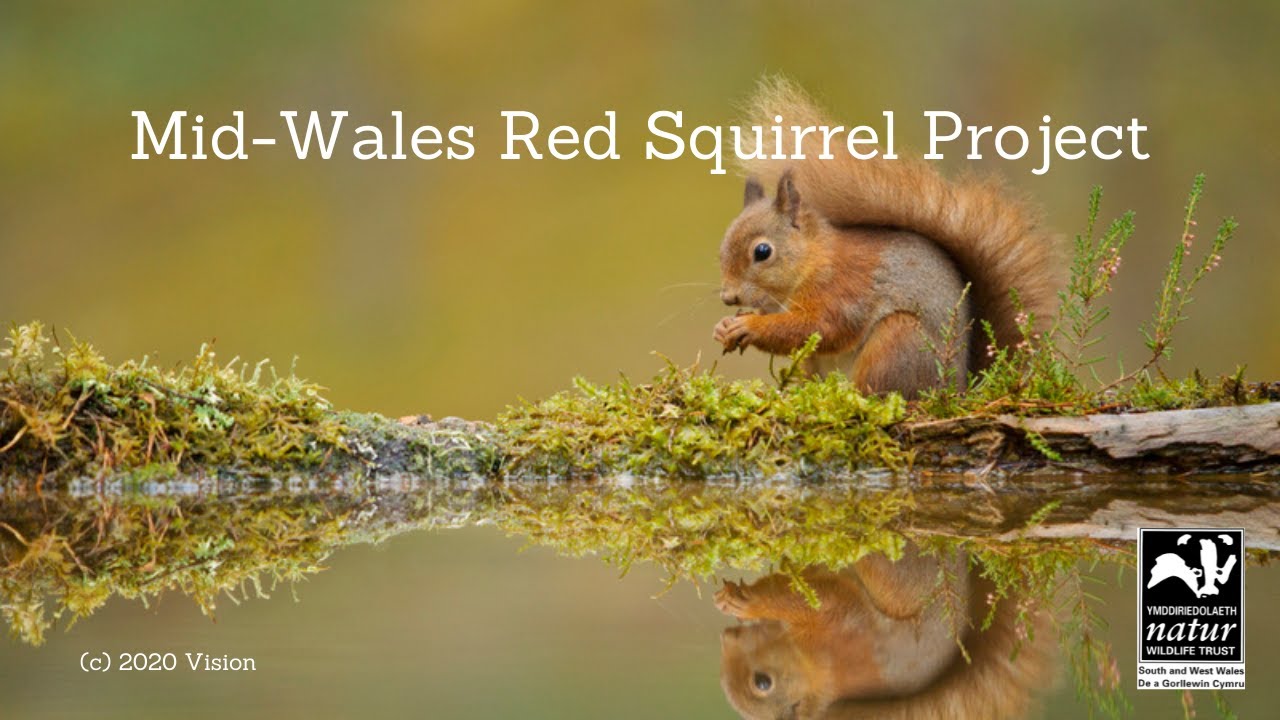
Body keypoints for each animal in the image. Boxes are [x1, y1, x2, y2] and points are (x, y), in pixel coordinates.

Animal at [713, 79, 1061, 398]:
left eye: (762, 251)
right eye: (720, 251)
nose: (728, 297)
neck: (813, 261)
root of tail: (957, 389)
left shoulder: (845, 290)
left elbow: (820, 327)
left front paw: (748, 326)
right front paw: (724, 327)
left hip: (899, 343)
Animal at [715, 546, 1056, 720]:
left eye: (762, 682)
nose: (728, 639)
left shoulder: (843, 623)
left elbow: (808, 595)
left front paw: (748, 602)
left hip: (895, 570)